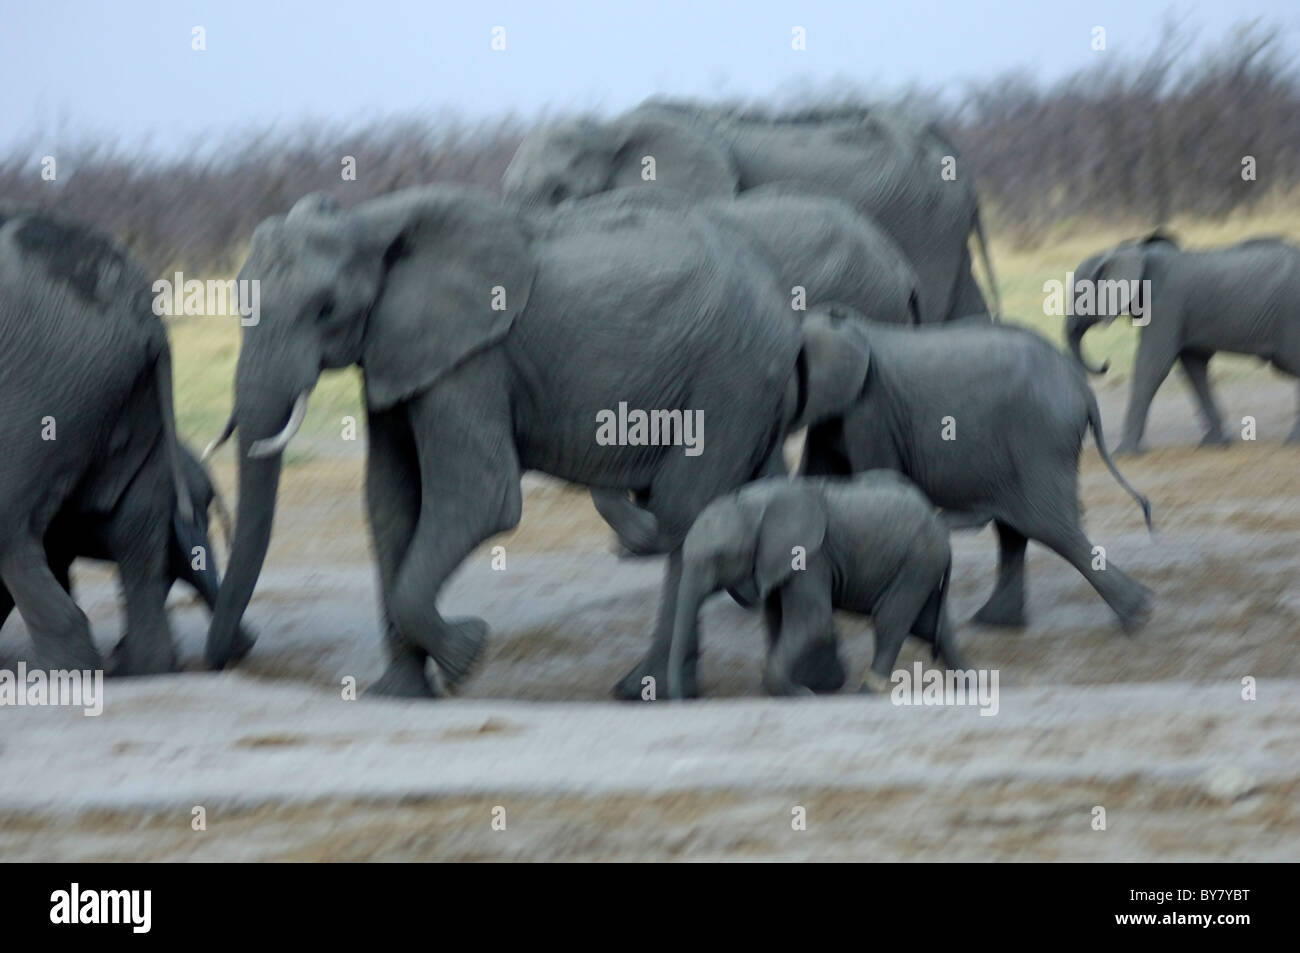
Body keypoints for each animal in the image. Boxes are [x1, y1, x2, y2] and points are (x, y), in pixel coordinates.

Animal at [0, 210, 204, 673]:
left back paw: (49, 673)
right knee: (135, 523)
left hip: (47, 378)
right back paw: (142, 668)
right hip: (124, 390)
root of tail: (144, 318)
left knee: (11, 526)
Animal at [200, 186, 871, 699]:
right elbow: (389, 504)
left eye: (325, 308)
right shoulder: (398, 353)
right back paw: (803, 676)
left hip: (729, 375)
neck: (373, 221)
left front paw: (468, 655)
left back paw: (648, 689)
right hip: (750, 388)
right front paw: (398, 696)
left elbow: (481, 499)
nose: (228, 656)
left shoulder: (472, 358)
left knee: (687, 508)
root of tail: (782, 300)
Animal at [666, 472, 969, 700]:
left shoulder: (809, 557)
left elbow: (813, 622)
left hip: (919, 560)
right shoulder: (776, 562)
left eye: (719, 557)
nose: (682, 699)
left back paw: (864, 696)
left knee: (890, 622)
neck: (753, 503)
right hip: (921, 565)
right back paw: (970, 688)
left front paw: (802, 694)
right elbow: (779, 618)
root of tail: (942, 529)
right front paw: (796, 689)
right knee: (928, 625)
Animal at [800, 310, 1154, 631]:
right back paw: (997, 621)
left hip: (1039, 435)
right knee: (1018, 526)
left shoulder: (870, 412)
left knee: (1047, 523)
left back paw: (1137, 612)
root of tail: (1082, 388)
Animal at [1068, 233, 1300, 453]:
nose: (1105, 365)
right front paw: (1214, 444)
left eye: (1080, 295)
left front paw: (1124, 453)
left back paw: (1292, 442)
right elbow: (1193, 367)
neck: (1133, 252)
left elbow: (1153, 366)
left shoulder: (1166, 303)